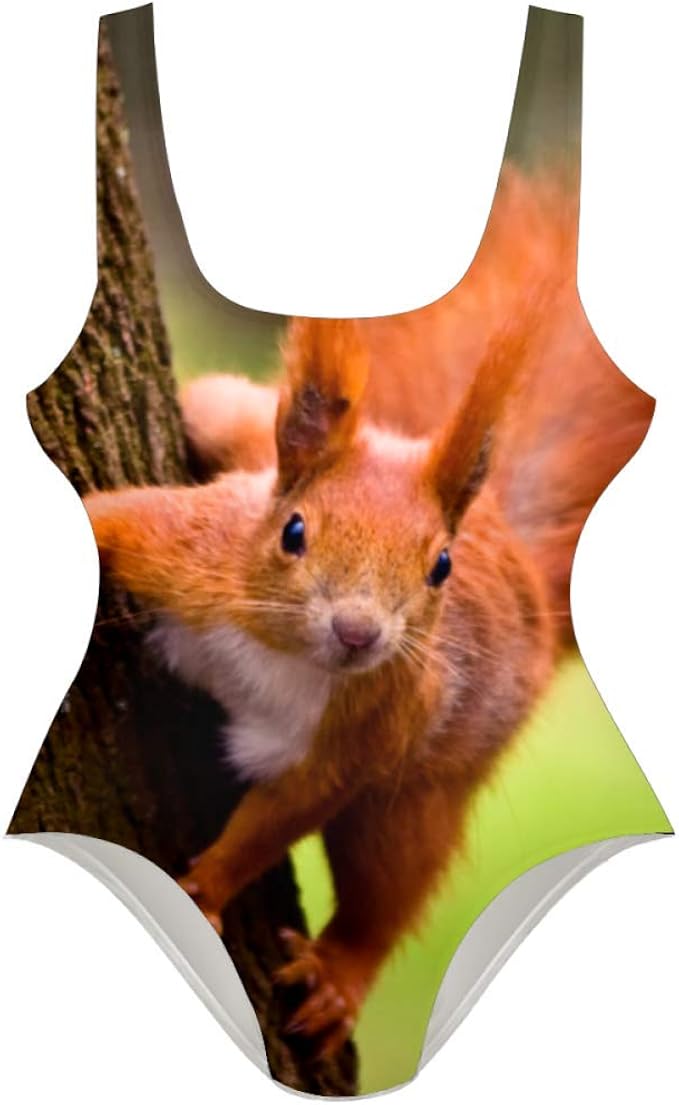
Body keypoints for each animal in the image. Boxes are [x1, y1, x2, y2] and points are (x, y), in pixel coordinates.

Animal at [83, 165, 654, 1059]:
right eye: (292, 531)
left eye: (439, 567)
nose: (357, 632)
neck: (281, 653)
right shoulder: (187, 551)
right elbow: (106, 522)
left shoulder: (370, 730)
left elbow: (280, 814)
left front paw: (207, 888)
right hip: (233, 424)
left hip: (426, 789)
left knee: (387, 881)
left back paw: (337, 978)